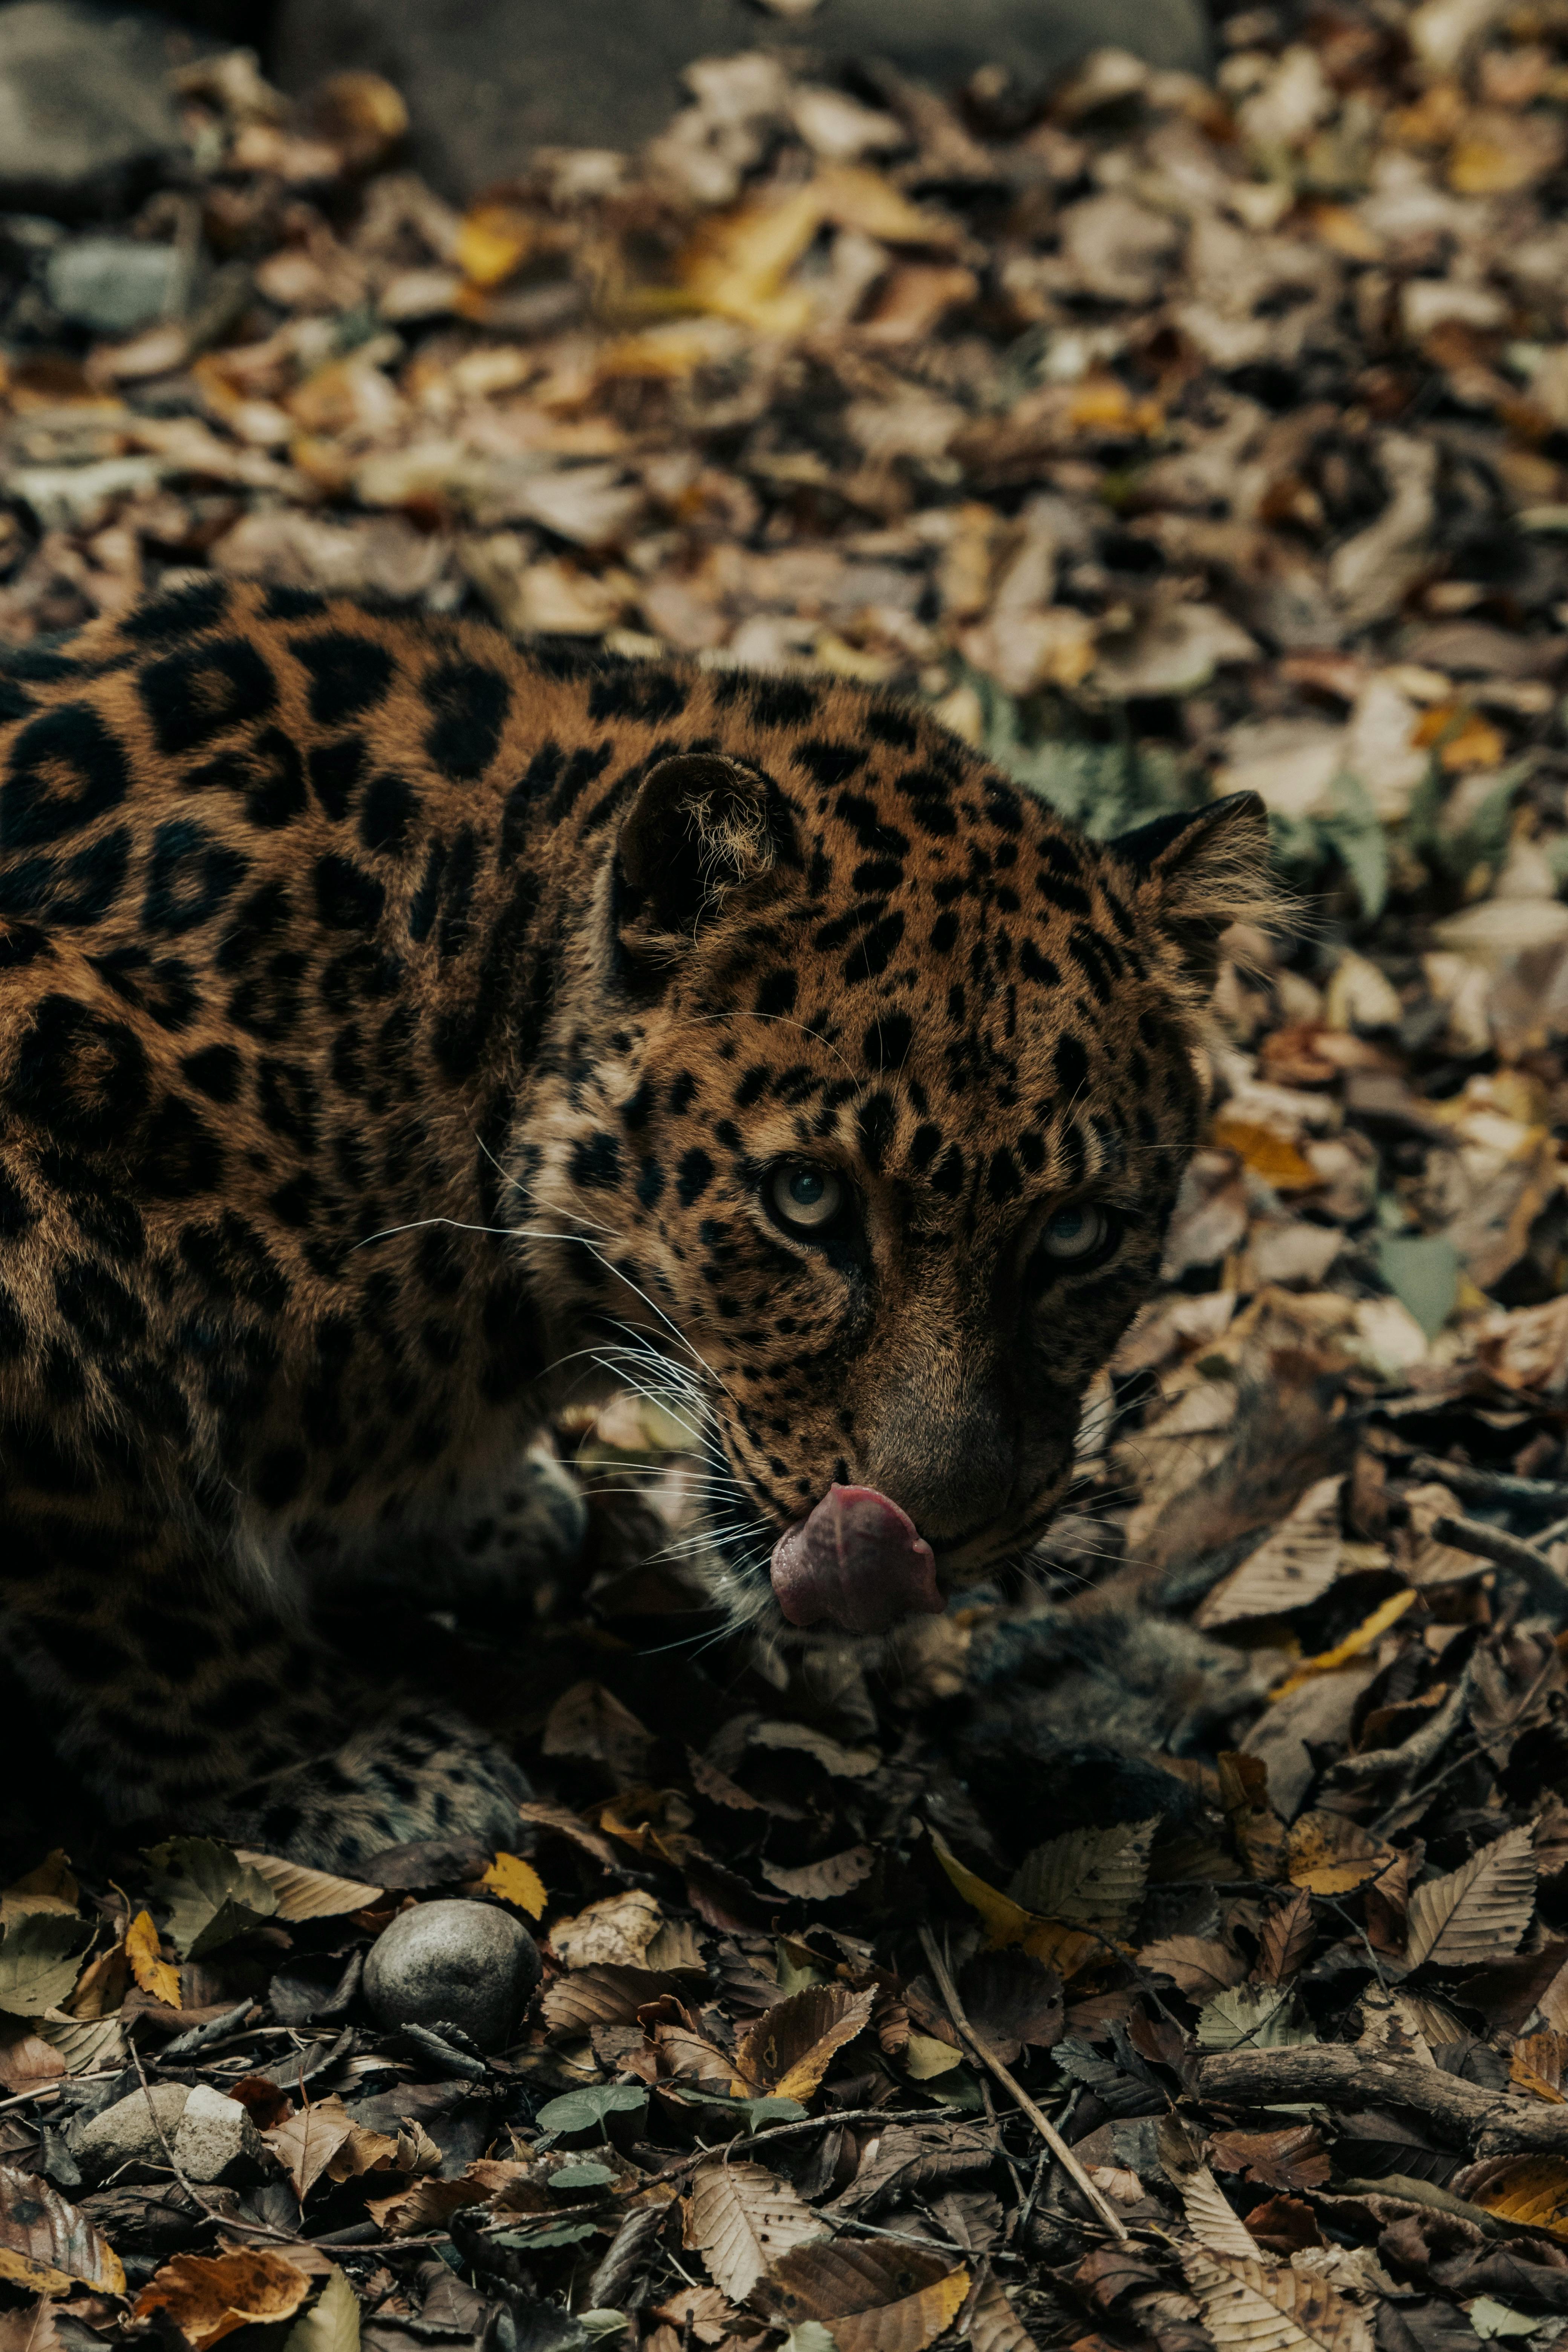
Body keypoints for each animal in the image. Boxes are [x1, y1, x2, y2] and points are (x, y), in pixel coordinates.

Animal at [0, 574, 1273, 1870]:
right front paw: (339, 1765)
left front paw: (479, 1516)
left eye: (1076, 1234)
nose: (929, 1539)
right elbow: (137, 1568)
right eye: (807, 1199)